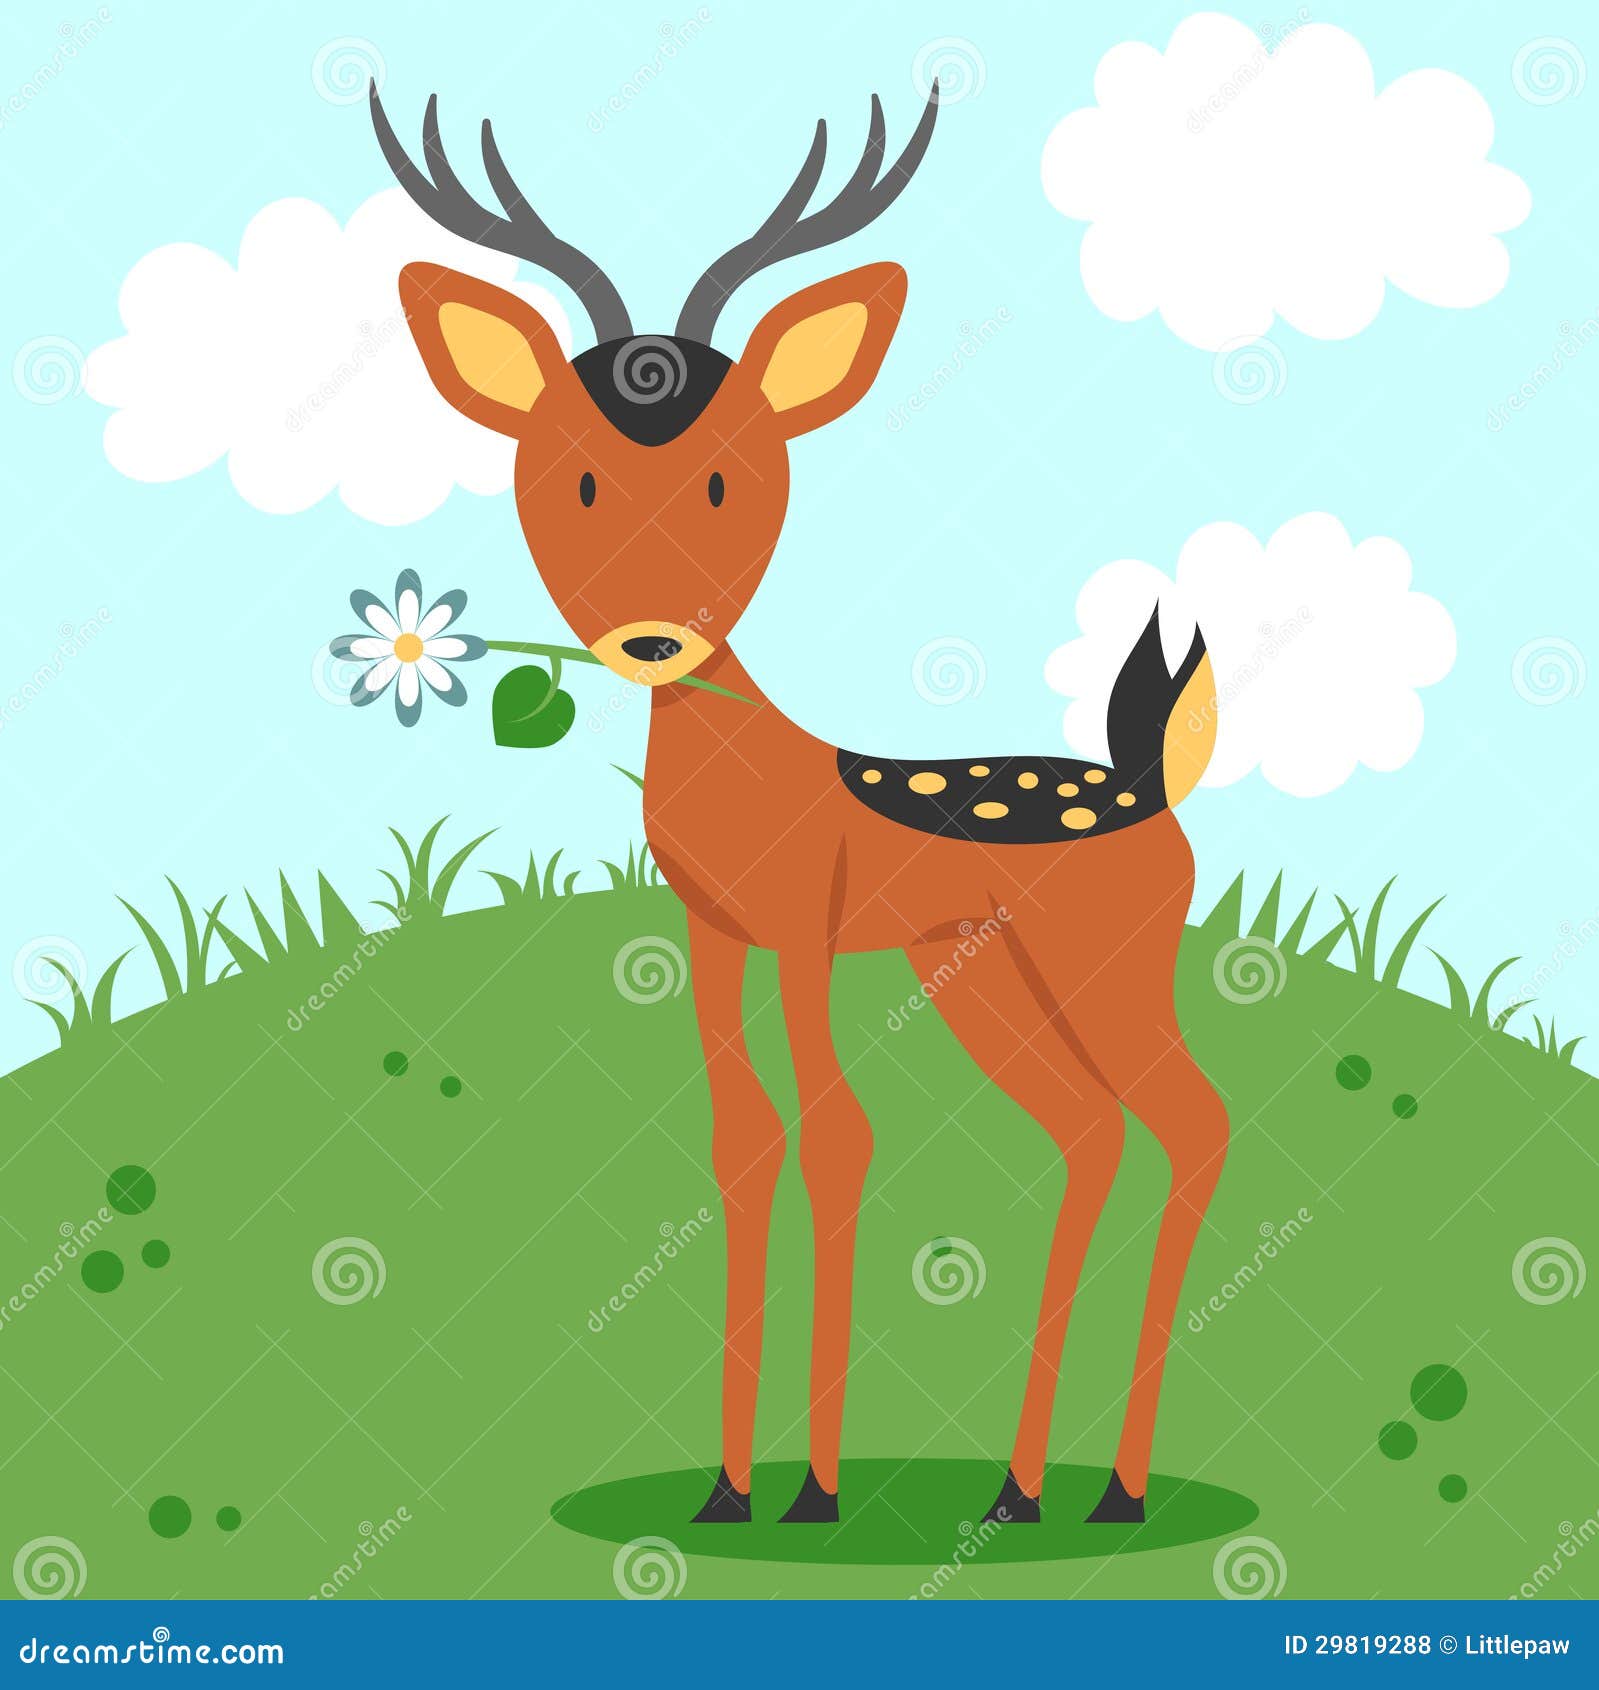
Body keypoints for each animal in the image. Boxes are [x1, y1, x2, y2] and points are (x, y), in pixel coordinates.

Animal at [372, 79, 1228, 1529]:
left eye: (730, 474)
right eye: (573, 476)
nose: (653, 636)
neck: (759, 770)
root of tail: (1153, 780)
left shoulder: (809, 929)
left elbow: (838, 1131)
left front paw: (814, 1490)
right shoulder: (717, 933)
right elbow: (740, 1143)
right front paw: (726, 1487)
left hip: (1104, 963)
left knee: (1194, 1122)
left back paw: (1111, 1490)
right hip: (978, 977)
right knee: (1093, 1130)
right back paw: (1019, 1490)